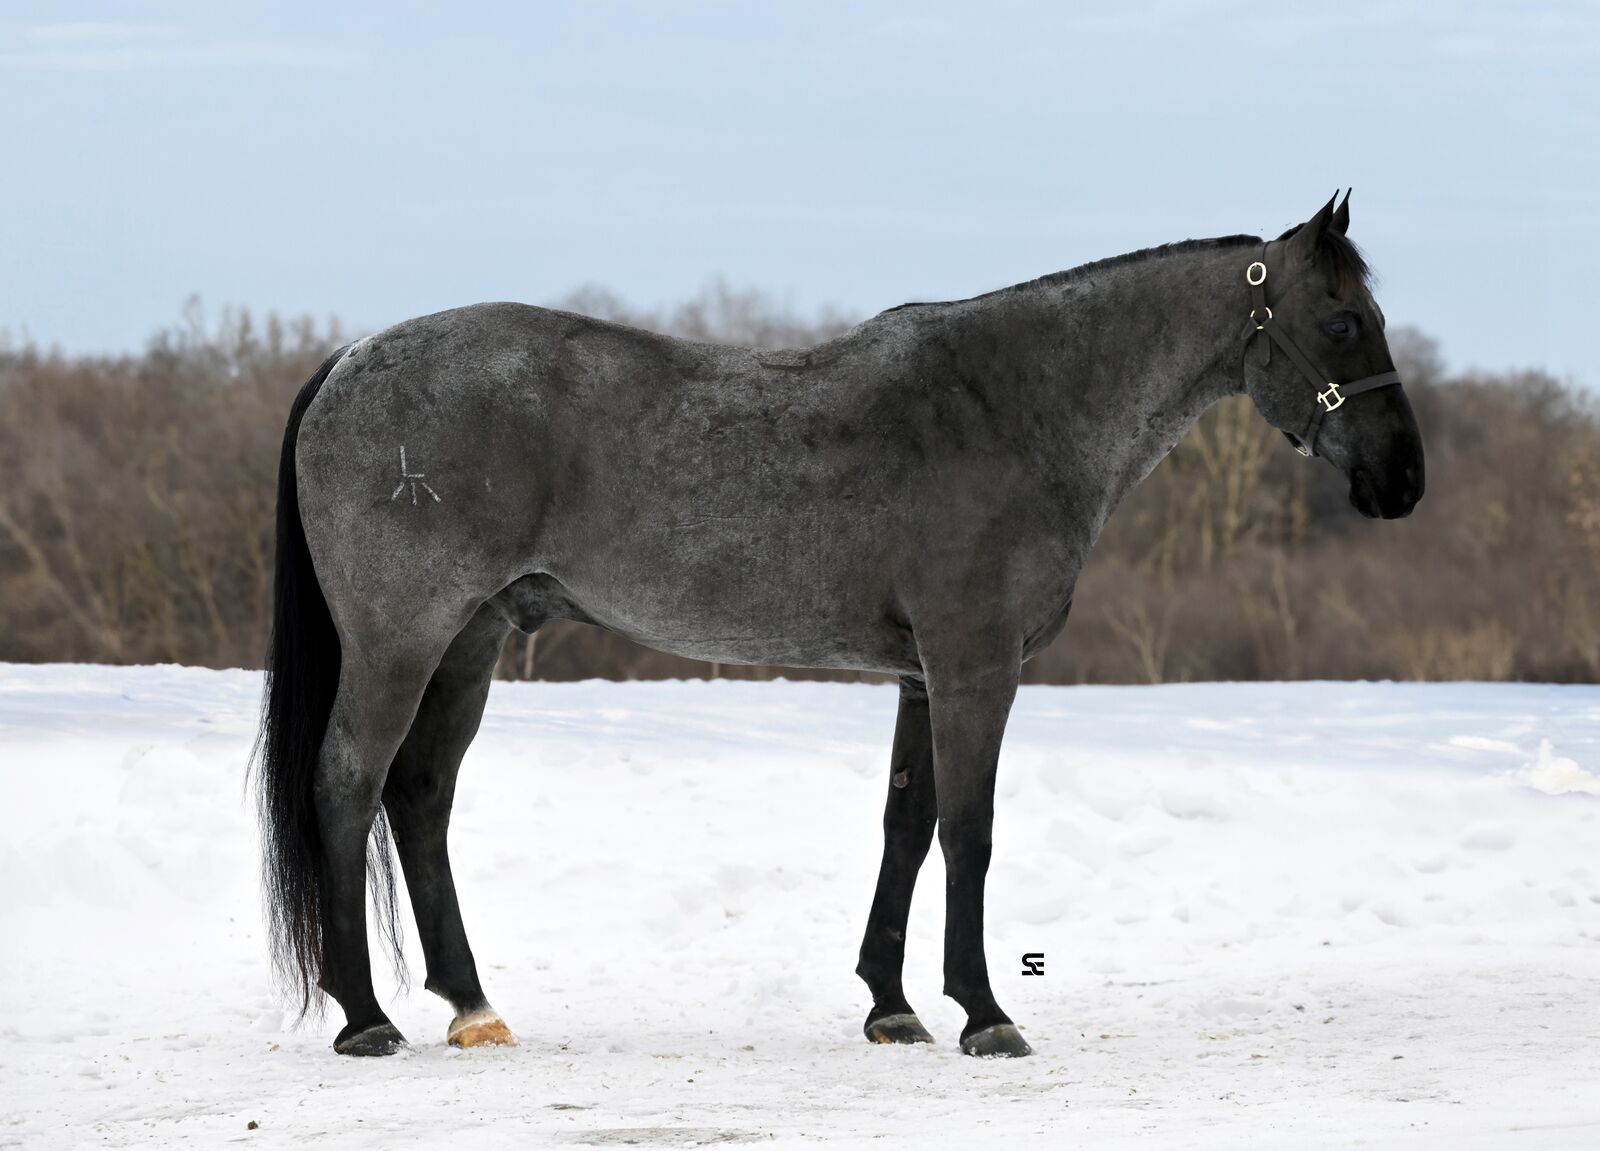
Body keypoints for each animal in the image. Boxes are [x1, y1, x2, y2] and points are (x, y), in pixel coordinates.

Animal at [254, 191, 1424, 1058]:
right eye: (1342, 322)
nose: (1403, 480)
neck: (1014, 407)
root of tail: (350, 359)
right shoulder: (973, 665)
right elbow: (969, 829)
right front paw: (985, 1011)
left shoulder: (920, 674)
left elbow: (907, 823)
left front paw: (892, 1004)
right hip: (403, 640)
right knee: (349, 782)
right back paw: (365, 1018)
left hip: (471, 641)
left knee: (419, 796)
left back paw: (470, 1004)